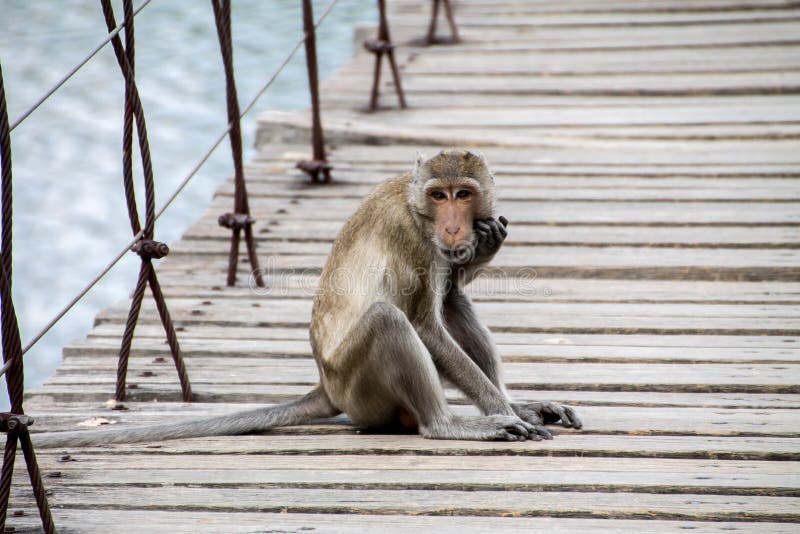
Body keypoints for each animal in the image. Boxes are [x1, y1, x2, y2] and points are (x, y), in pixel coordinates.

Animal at [34, 149, 581, 448]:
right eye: (439, 195)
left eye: (463, 194)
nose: (452, 226)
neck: (415, 204)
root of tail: (326, 385)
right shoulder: (412, 237)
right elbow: (425, 324)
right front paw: (504, 412)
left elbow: (448, 298)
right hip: (360, 390)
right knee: (388, 319)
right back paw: (446, 426)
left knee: (452, 305)